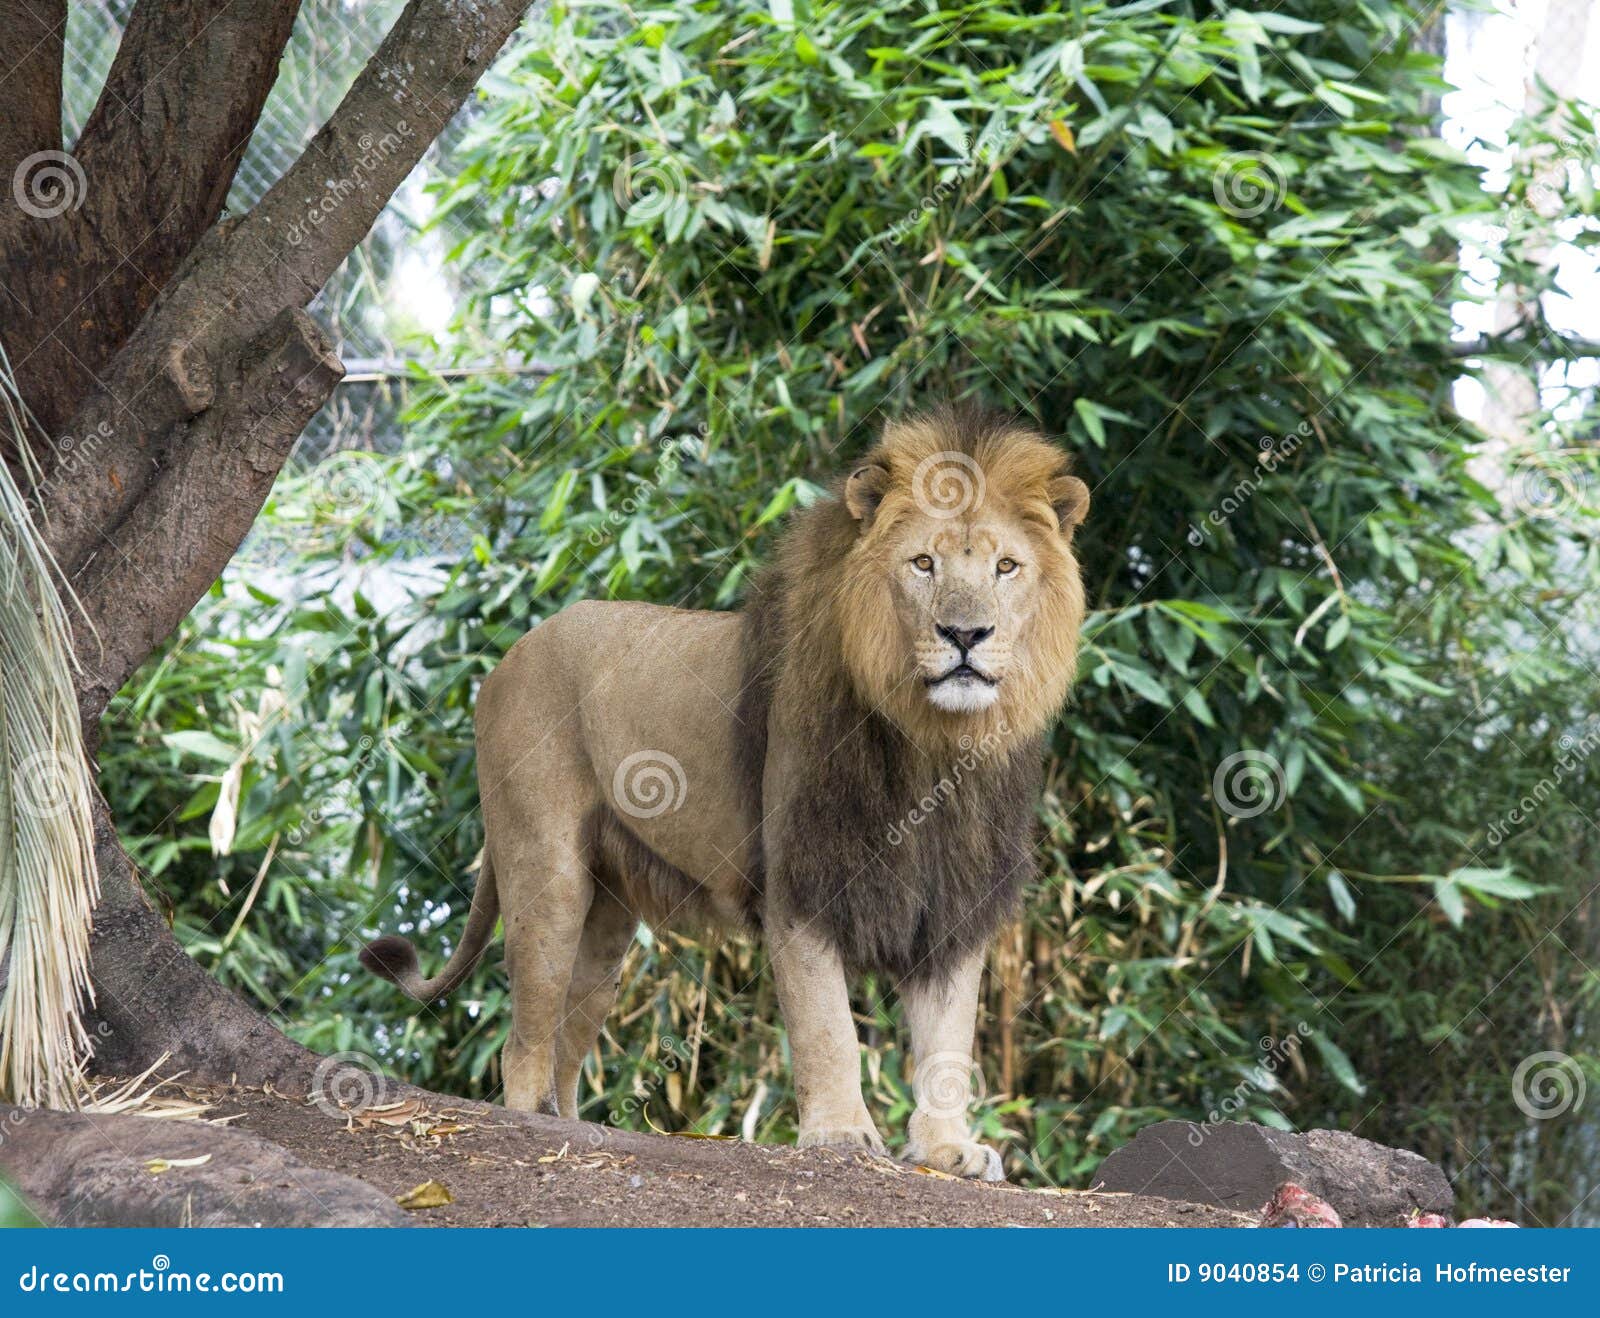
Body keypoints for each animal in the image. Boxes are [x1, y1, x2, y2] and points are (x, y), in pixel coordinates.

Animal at [361, 406, 1089, 1180]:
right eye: (923, 563)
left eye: (1006, 567)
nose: (966, 634)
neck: (933, 744)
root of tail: (507, 657)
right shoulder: (799, 880)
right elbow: (827, 1025)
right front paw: (840, 1135)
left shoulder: (953, 897)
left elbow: (948, 1038)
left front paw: (948, 1151)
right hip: (545, 870)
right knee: (523, 1036)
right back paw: (533, 1121)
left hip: (608, 915)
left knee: (567, 1032)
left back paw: (577, 1127)